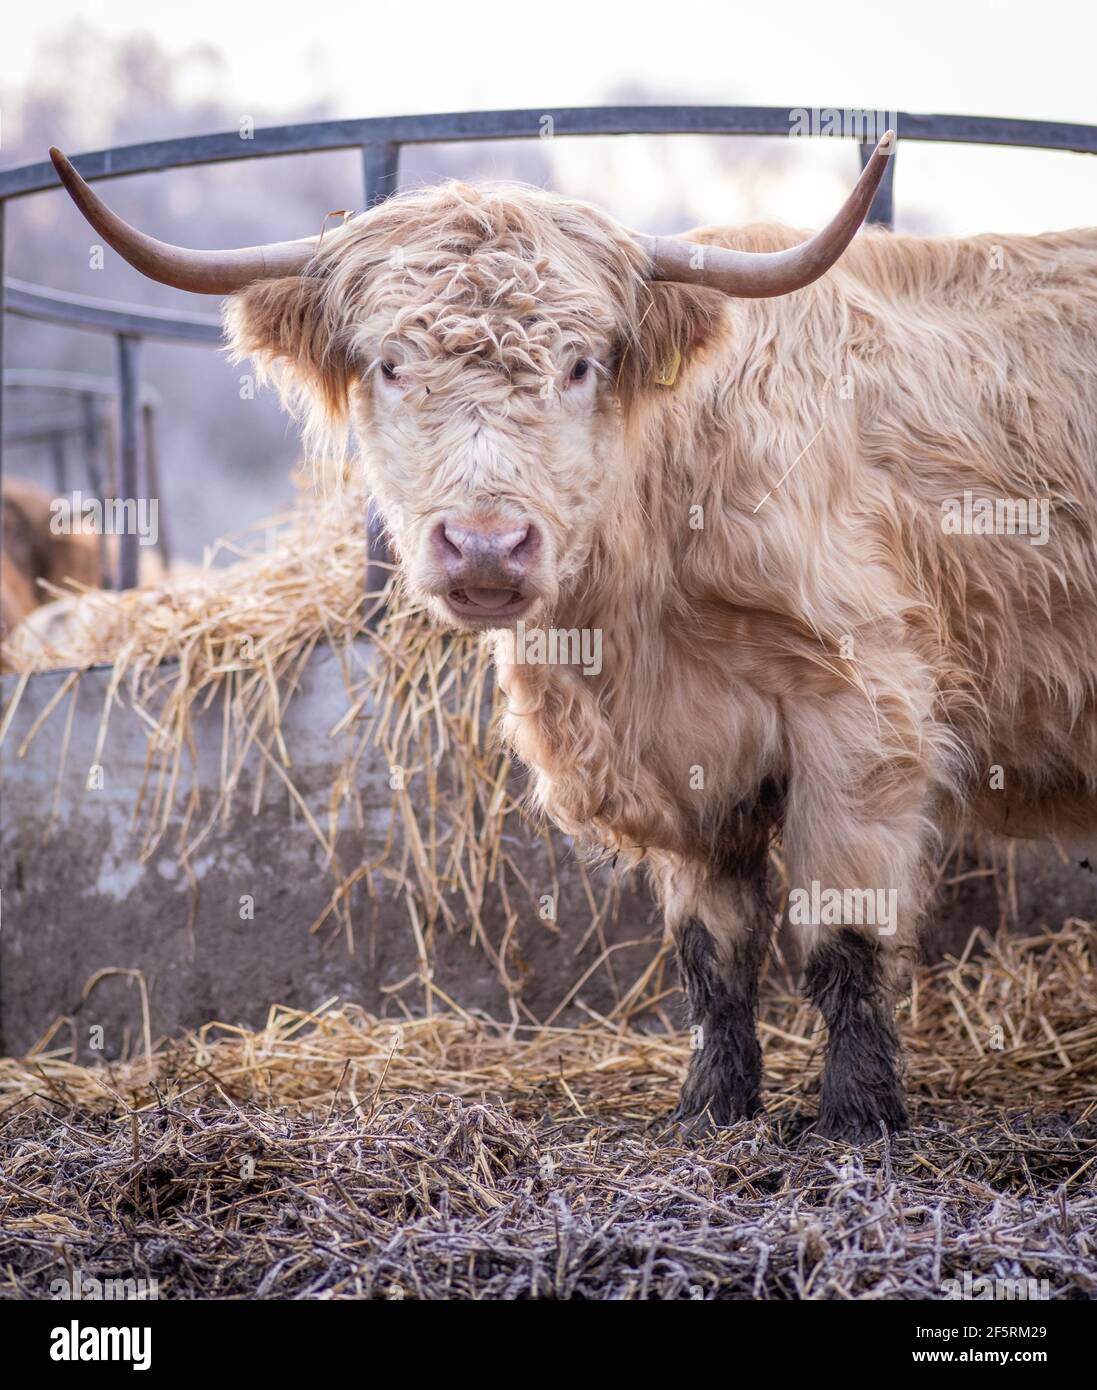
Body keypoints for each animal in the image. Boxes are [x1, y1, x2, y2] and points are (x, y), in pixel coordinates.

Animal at [48, 136, 1097, 1142]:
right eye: (390, 364)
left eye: (580, 364)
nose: (485, 543)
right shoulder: (691, 767)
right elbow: (713, 953)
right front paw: (710, 1109)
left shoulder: (862, 709)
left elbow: (840, 935)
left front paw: (856, 1118)